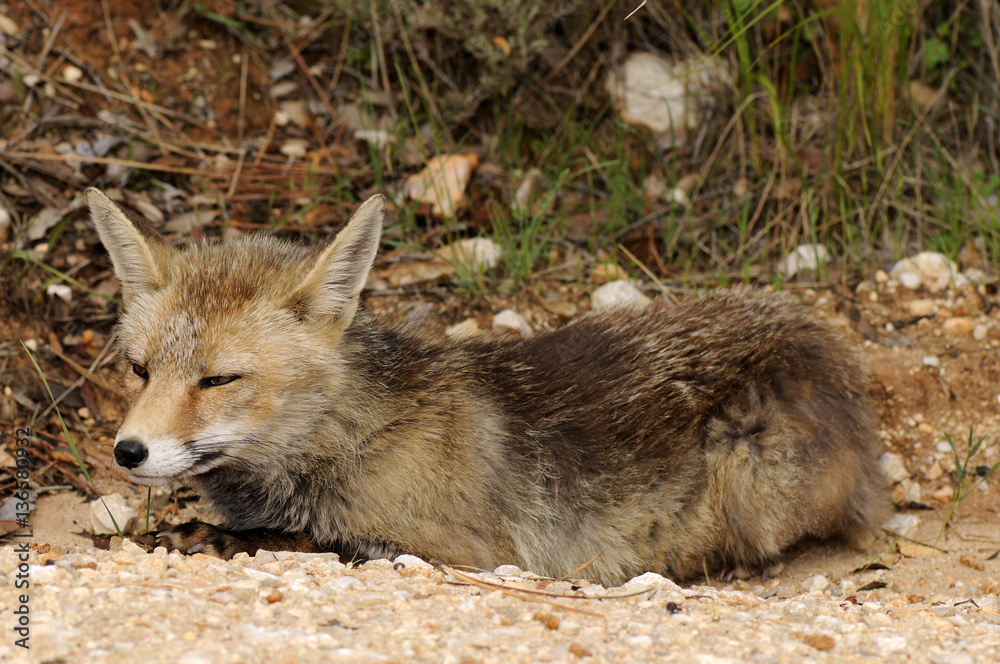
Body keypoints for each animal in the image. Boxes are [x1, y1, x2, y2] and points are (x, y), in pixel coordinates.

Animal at [86, 187, 888, 585]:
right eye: (140, 370)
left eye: (218, 378)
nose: (128, 452)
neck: (345, 442)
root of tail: (826, 347)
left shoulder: (455, 551)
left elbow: (294, 546)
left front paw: (197, 540)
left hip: (748, 473)